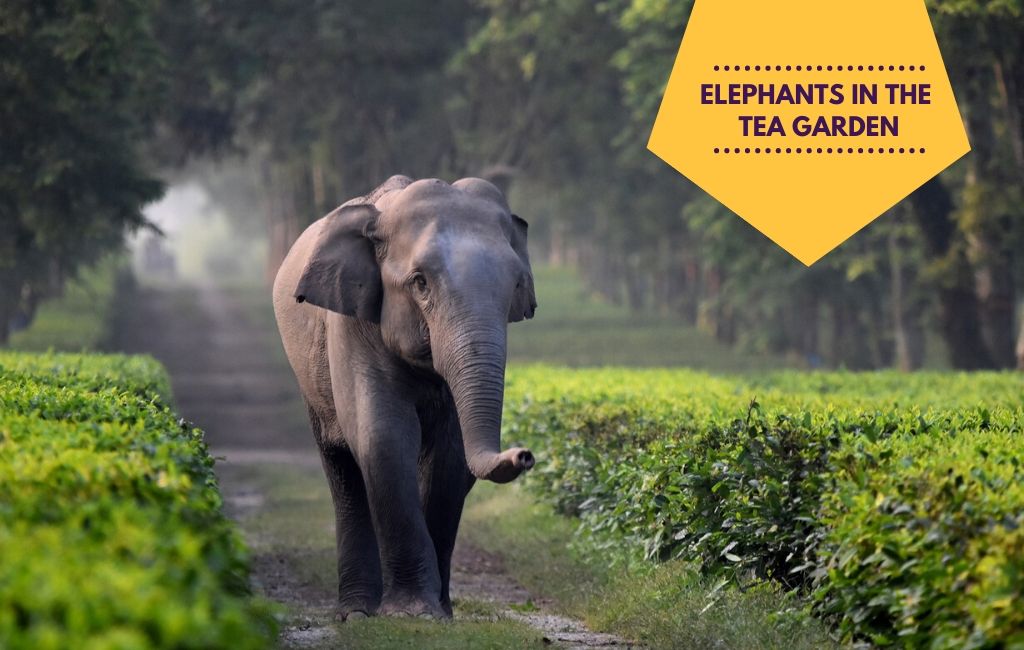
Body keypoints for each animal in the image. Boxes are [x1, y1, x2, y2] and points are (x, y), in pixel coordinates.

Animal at [272, 175, 537, 620]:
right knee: (342, 466)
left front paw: (438, 615)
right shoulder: (353, 324)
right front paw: (413, 613)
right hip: (310, 381)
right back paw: (357, 611)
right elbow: (384, 436)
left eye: (515, 285)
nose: (524, 455)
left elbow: (450, 453)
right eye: (420, 283)